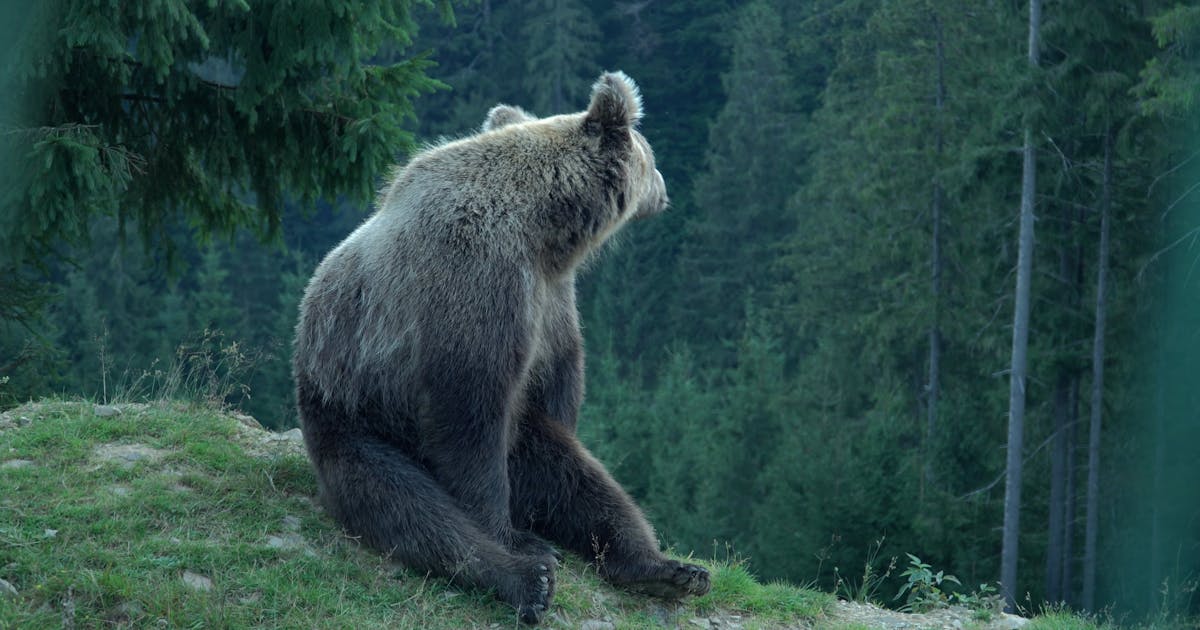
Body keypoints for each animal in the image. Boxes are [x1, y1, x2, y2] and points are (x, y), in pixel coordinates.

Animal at [293, 71, 710, 625]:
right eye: (651, 154)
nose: (664, 189)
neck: (545, 230)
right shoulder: (479, 279)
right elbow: (470, 414)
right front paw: (511, 538)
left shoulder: (550, 301)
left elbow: (557, 390)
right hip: (353, 414)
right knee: (406, 505)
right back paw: (525, 576)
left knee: (576, 474)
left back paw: (665, 569)